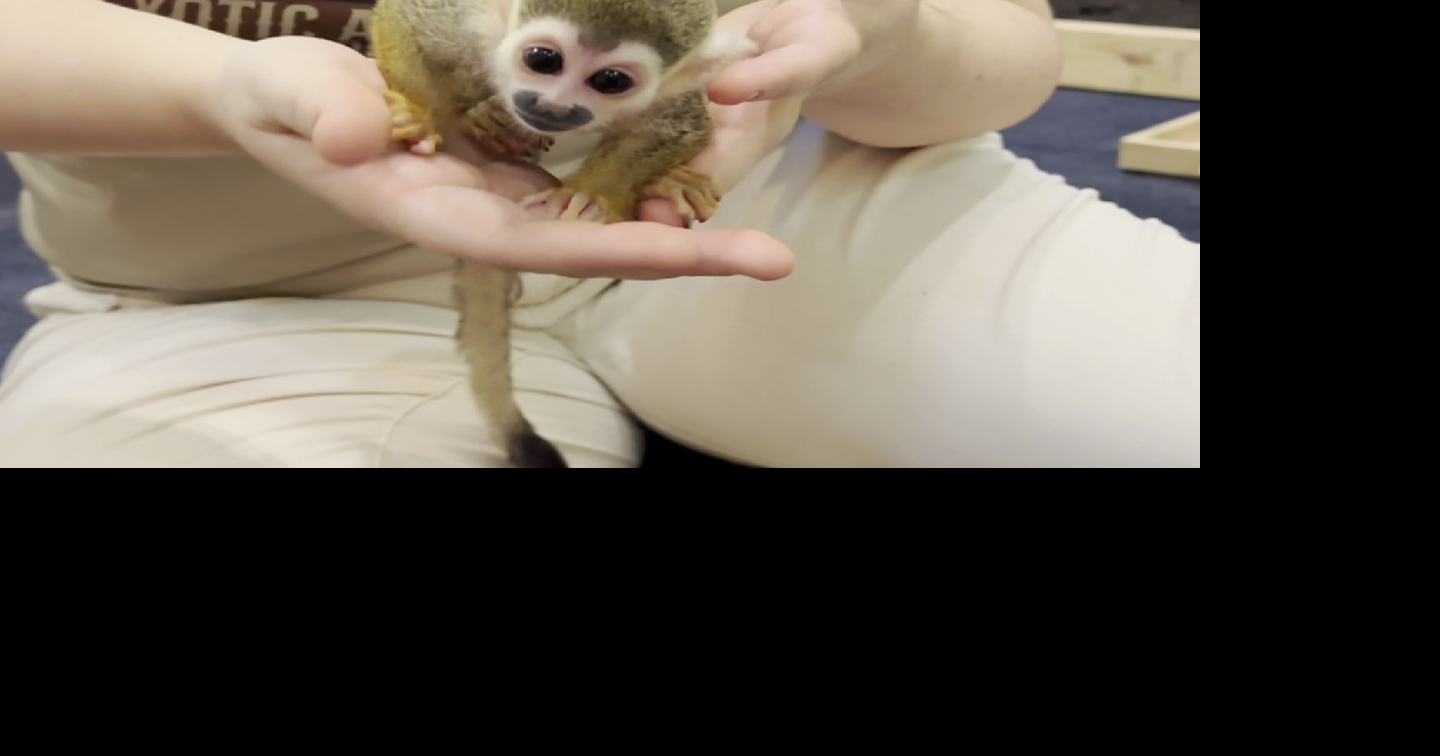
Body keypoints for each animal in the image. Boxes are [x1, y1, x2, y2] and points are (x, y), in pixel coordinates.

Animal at [370, 0, 756, 468]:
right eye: (543, 60)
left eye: (611, 81)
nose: (554, 107)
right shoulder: (467, 21)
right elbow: (406, 22)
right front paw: (418, 112)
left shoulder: (670, 91)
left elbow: (676, 124)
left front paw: (589, 195)